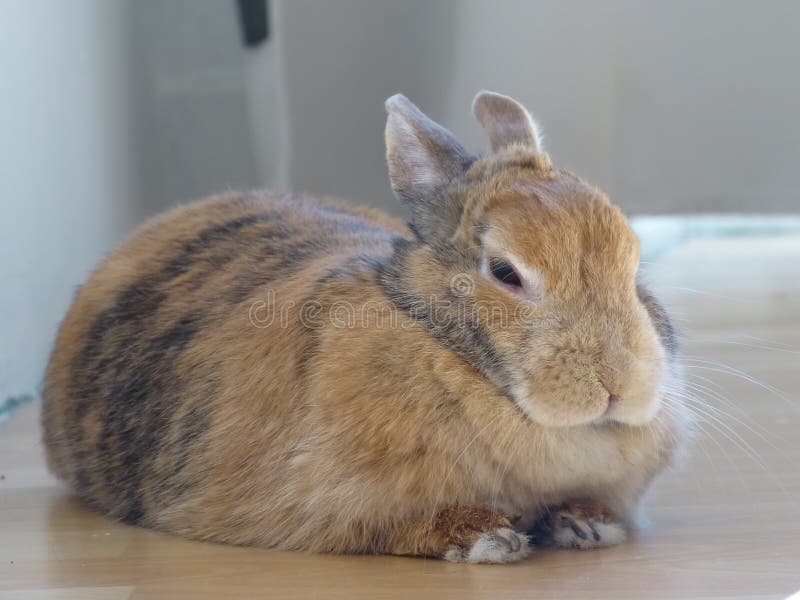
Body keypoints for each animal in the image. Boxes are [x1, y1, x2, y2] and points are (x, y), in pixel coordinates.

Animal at [42, 91, 686, 563]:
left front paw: (588, 523)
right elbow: (394, 529)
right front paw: (485, 535)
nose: (618, 385)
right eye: (506, 272)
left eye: (633, 264)